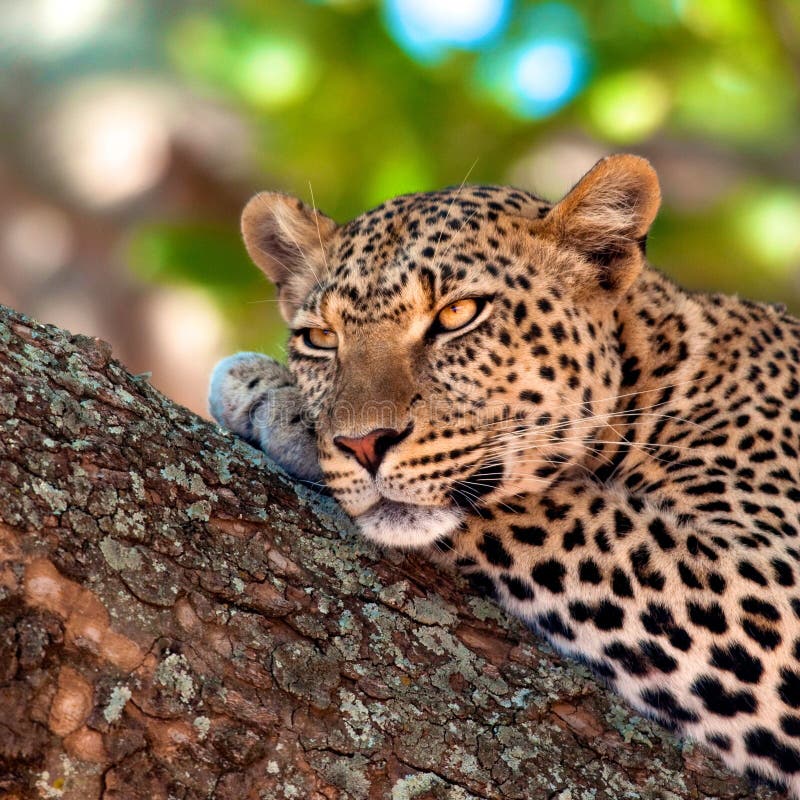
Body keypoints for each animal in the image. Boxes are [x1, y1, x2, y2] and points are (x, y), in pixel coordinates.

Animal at [209, 154, 800, 795]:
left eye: (457, 315)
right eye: (320, 338)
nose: (363, 443)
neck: (654, 372)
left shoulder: (772, 586)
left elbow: (558, 507)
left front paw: (272, 400)